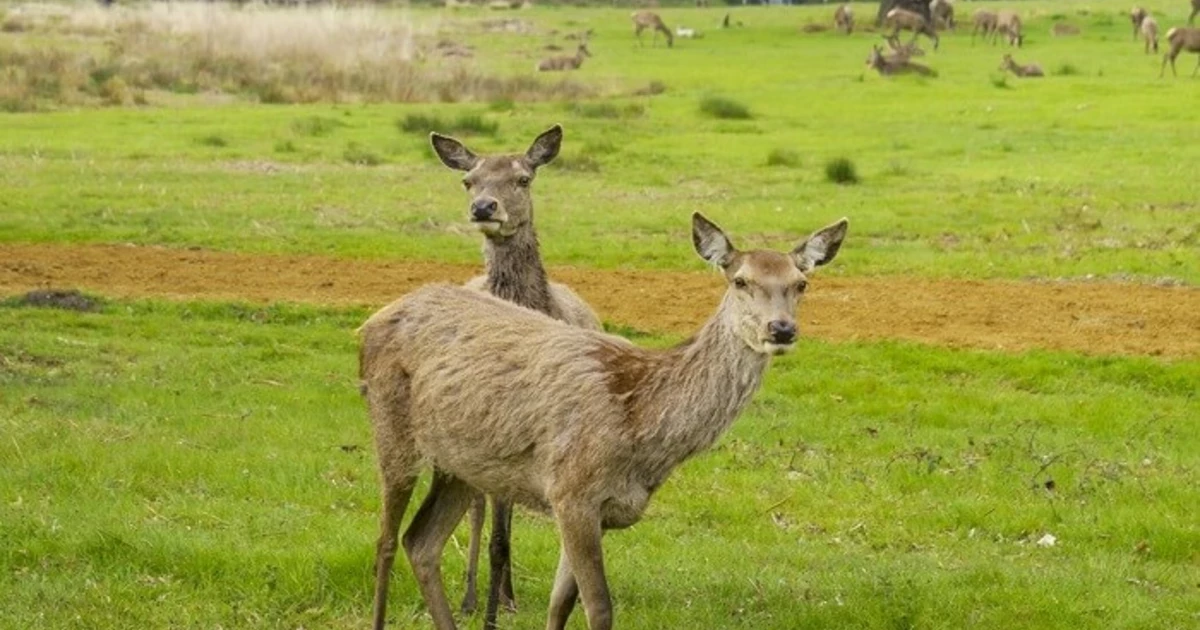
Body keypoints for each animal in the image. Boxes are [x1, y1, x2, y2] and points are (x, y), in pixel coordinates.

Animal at [358, 213, 848, 630]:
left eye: (801, 283)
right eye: (741, 280)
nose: (781, 329)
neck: (640, 424)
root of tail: (370, 322)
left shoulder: (600, 509)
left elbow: (559, 604)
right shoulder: (571, 490)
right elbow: (599, 609)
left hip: (462, 465)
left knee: (421, 543)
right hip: (390, 424)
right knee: (386, 541)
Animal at [428, 125, 603, 630]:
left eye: (523, 178)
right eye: (468, 180)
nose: (485, 207)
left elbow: (511, 539)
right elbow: (495, 537)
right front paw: (482, 612)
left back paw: (506, 596)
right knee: (478, 513)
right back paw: (472, 597)